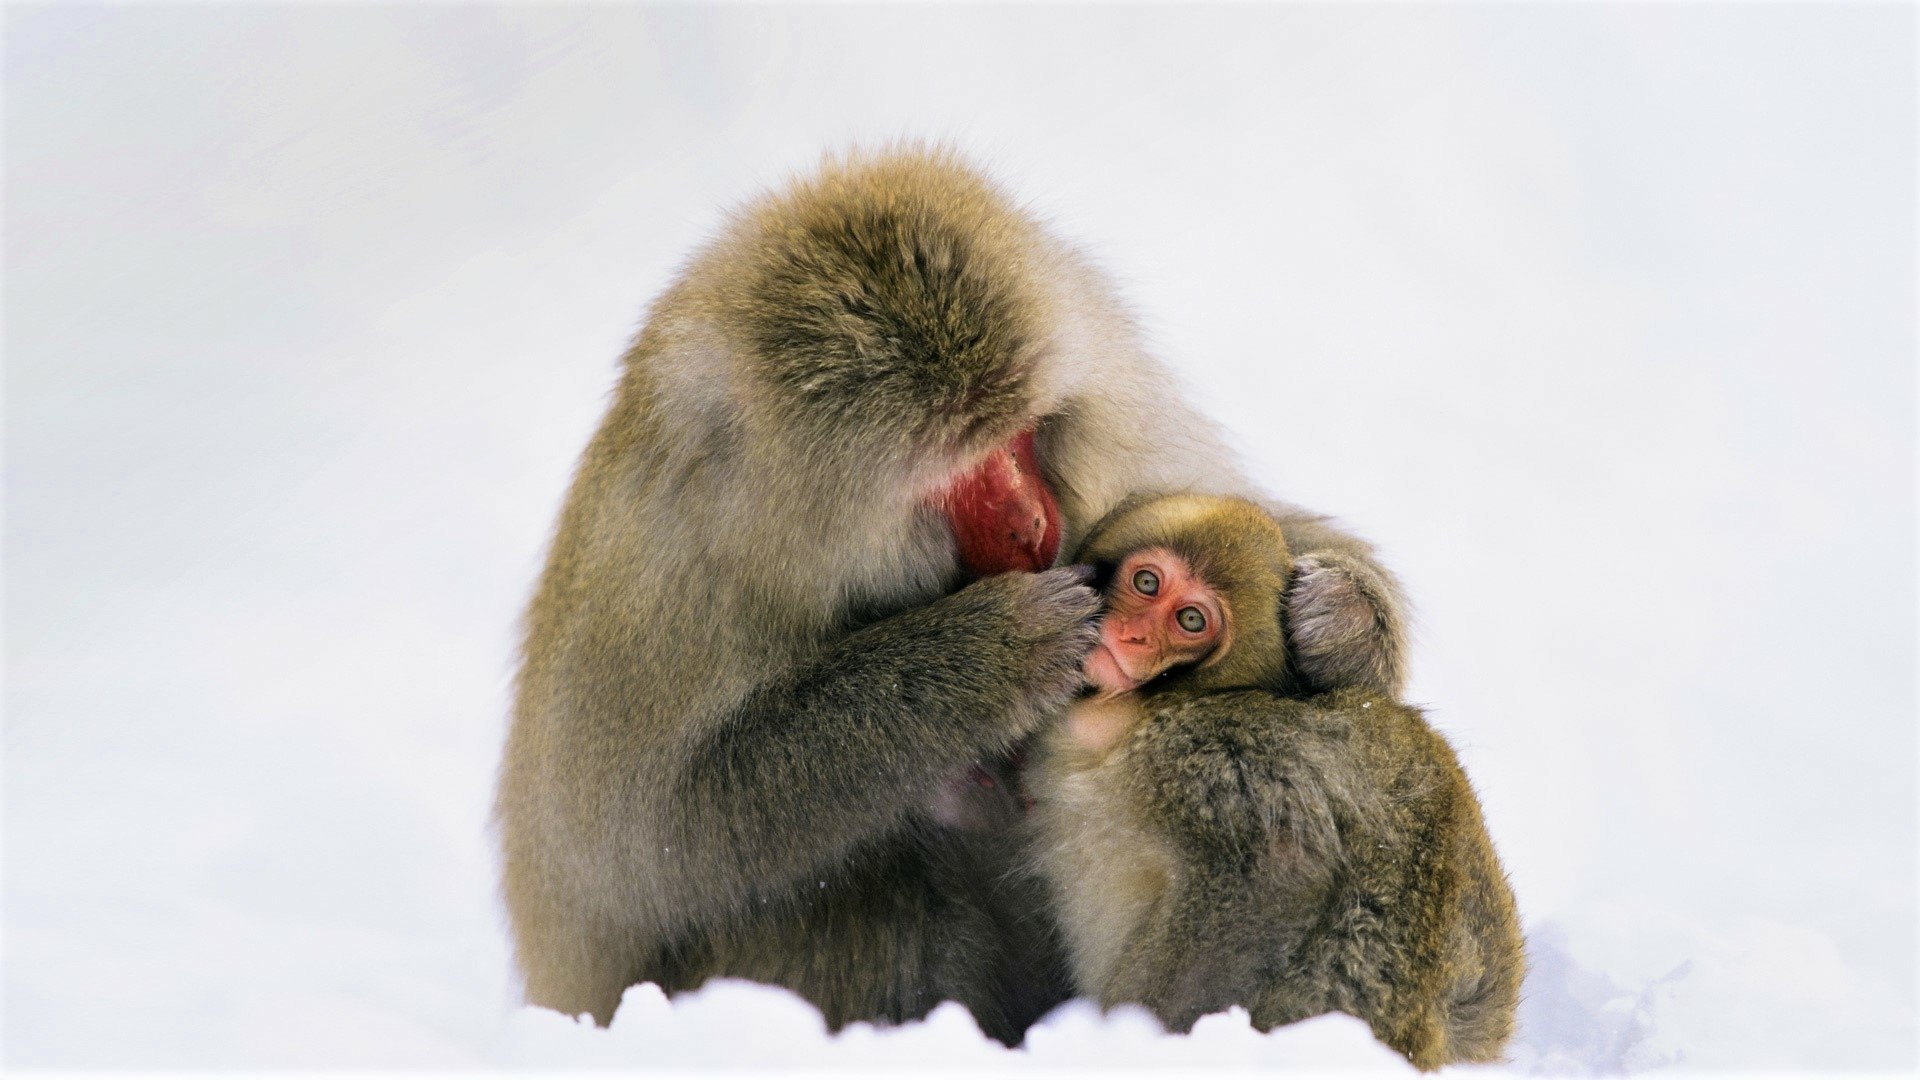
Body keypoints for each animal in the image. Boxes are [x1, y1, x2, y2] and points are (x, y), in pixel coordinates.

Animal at [494, 146, 1413, 1045]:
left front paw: (1342, 620)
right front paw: (988, 656)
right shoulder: (666, 573)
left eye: (1023, 431)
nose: (1033, 522)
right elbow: (649, 846)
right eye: (957, 473)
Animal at [1023, 493, 1525, 1069]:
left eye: (1190, 619)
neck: (1151, 709)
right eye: (1147, 582)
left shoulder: (1211, 755)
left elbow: (1276, 870)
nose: (1133, 636)